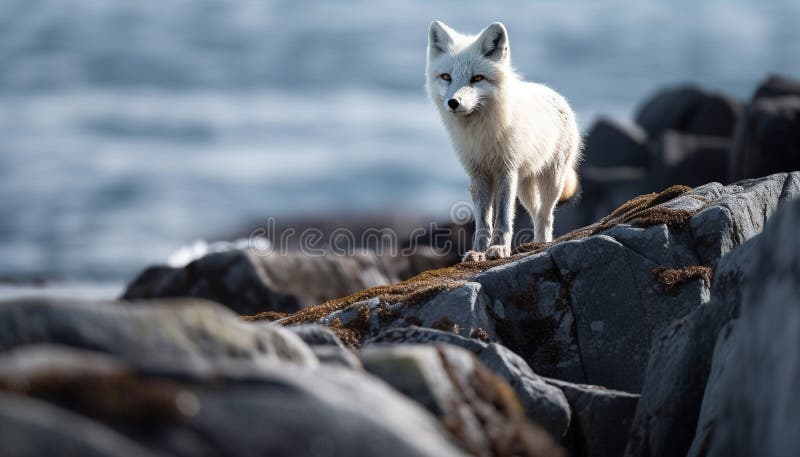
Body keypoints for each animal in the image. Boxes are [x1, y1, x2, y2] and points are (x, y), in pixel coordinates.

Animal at [426, 21, 582, 262]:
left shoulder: (506, 171)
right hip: (524, 189)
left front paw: (499, 249)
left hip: (551, 180)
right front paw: (478, 252)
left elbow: (504, 219)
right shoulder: (479, 174)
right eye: (446, 77)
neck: (481, 134)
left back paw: (542, 244)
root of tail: (555, 94)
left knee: (546, 216)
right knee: (536, 213)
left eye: (477, 78)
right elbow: (483, 222)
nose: (453, 102)